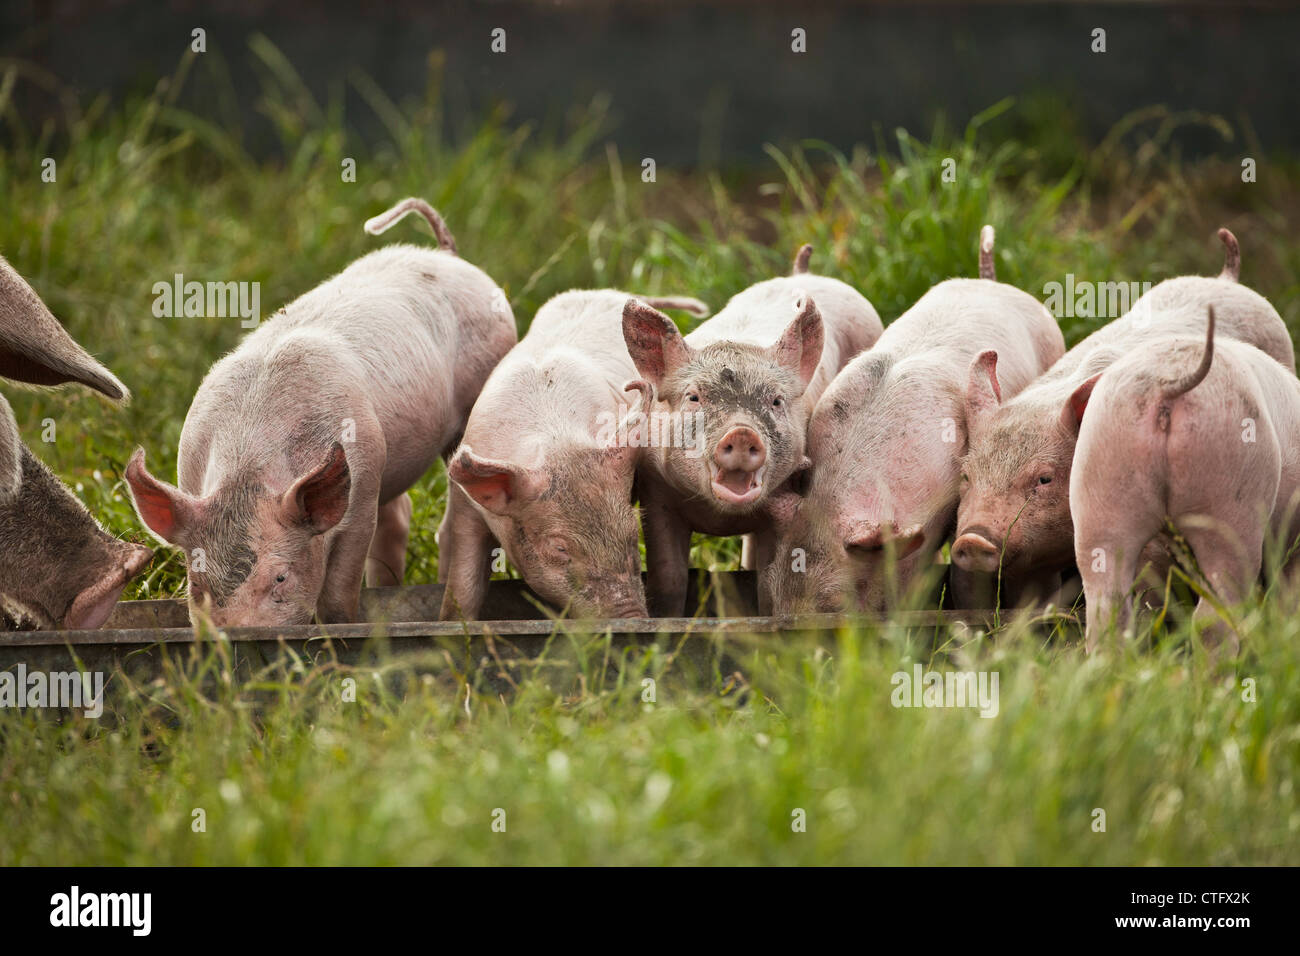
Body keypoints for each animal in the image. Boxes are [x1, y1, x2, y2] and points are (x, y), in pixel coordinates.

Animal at [125, 198, 517, 626]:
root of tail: (446, 255)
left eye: (280, 578)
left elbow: (339, 590)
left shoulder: (359, 495)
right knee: (399, 515)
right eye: (196, 585)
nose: (233, 634)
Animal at [438, 289, 710, 620]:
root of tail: (612, 292)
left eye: (632, 535)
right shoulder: (466, 504)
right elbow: (463, 586)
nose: (632, 619)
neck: (555, 442)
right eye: (559, 548)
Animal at [623, 245, 884, 616]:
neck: (719, 518)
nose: (742, 433)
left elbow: (766, 583)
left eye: (775, 400)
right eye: (693, 397)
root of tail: (803, 272)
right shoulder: (656, 493)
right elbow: (669, 579)